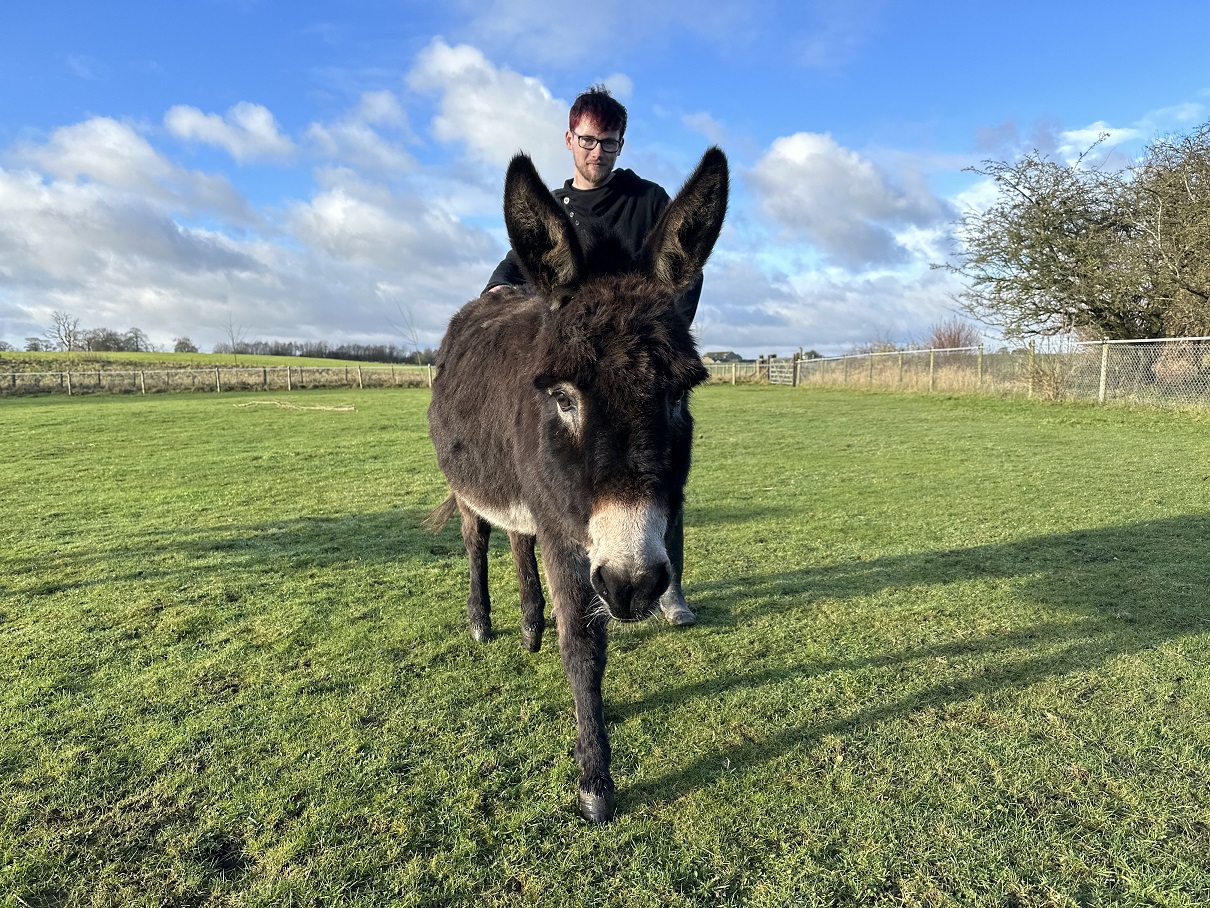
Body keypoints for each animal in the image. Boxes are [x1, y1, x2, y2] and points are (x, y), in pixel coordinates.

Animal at [427, 146, 728, 822]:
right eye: (563, 398)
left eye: (679, 395)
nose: (633, 587)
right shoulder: (568, 533)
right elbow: (584, 644)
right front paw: (595, 783)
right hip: (472, 487)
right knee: (478, 541)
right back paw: (484, 622)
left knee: (518, 540)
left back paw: (530, 626)